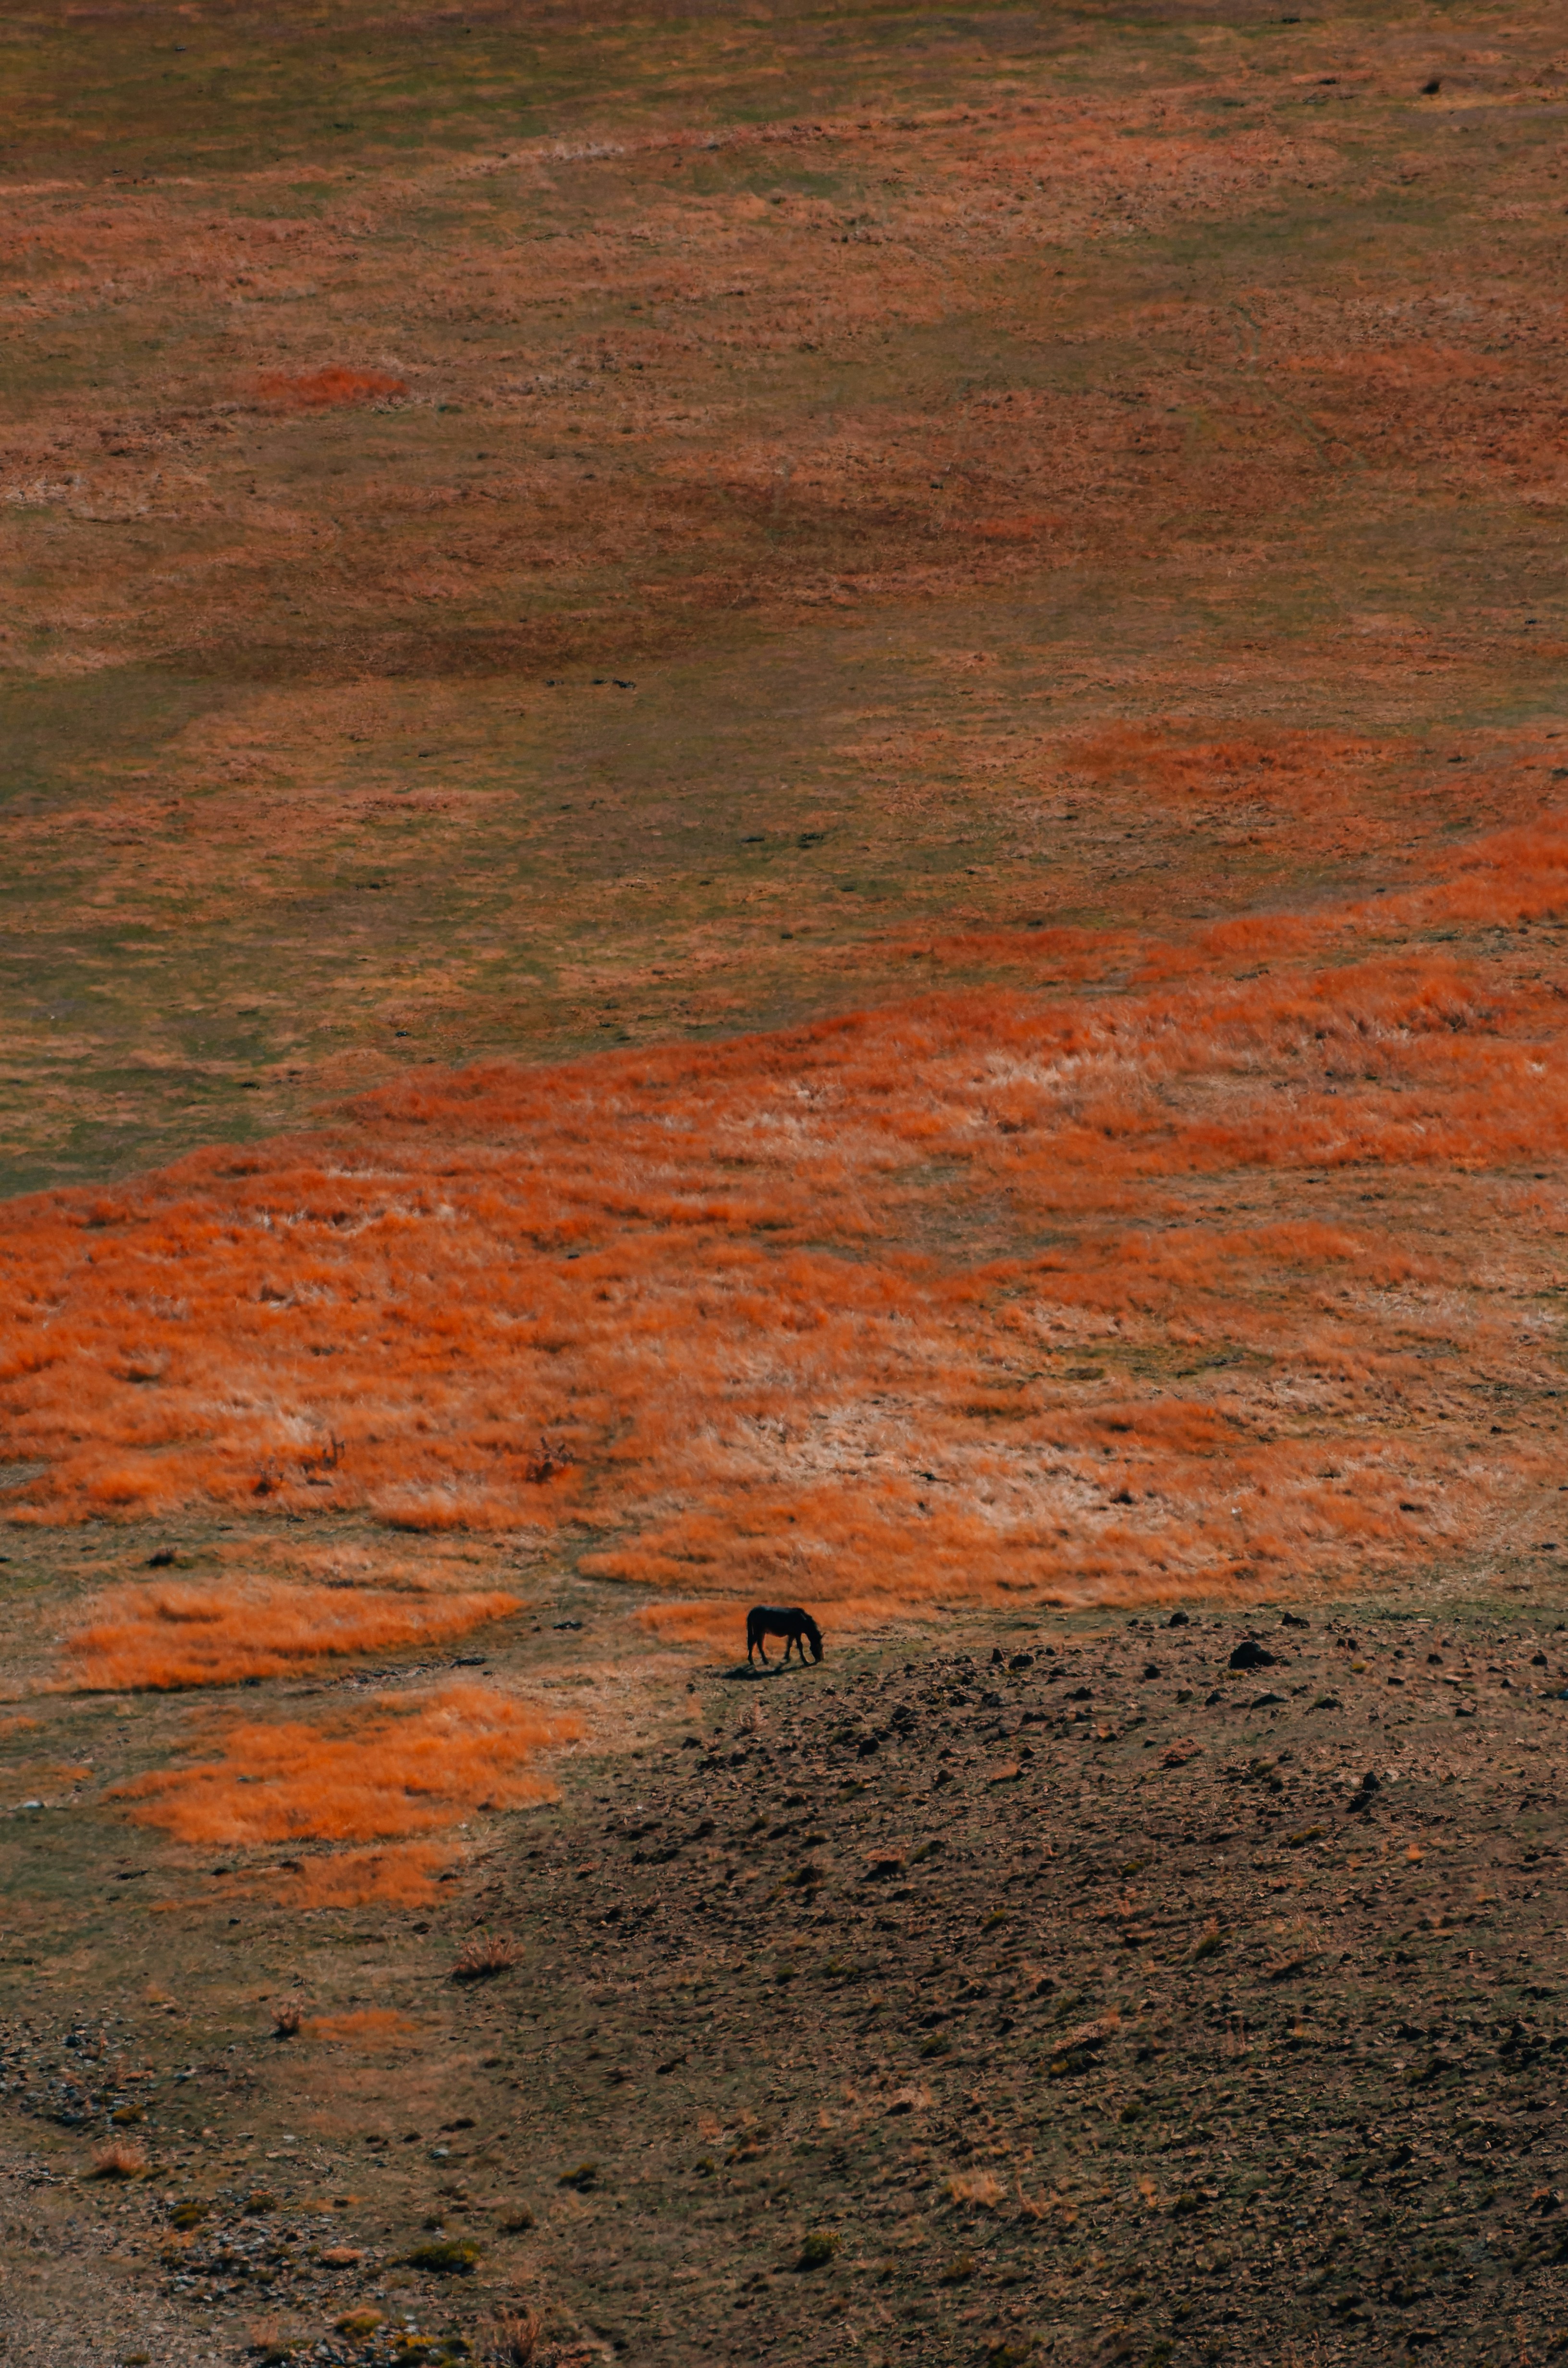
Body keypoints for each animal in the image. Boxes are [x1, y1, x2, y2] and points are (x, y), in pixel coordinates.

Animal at [745, 1604, 823, 1666]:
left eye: (822, 1646)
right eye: (818, 1646)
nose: (821, 1659)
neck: (803, 1620)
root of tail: (753, 1611)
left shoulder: (792, 1634)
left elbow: (789, 1644)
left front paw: (787, 1657)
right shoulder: (797, 1634)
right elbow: (800, 1646)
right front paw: (805, 1661)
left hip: (762, 1632)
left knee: (759, 1644)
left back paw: (764, 1661)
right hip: (759, 1631)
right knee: (752, 1643)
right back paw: (753, 1661)